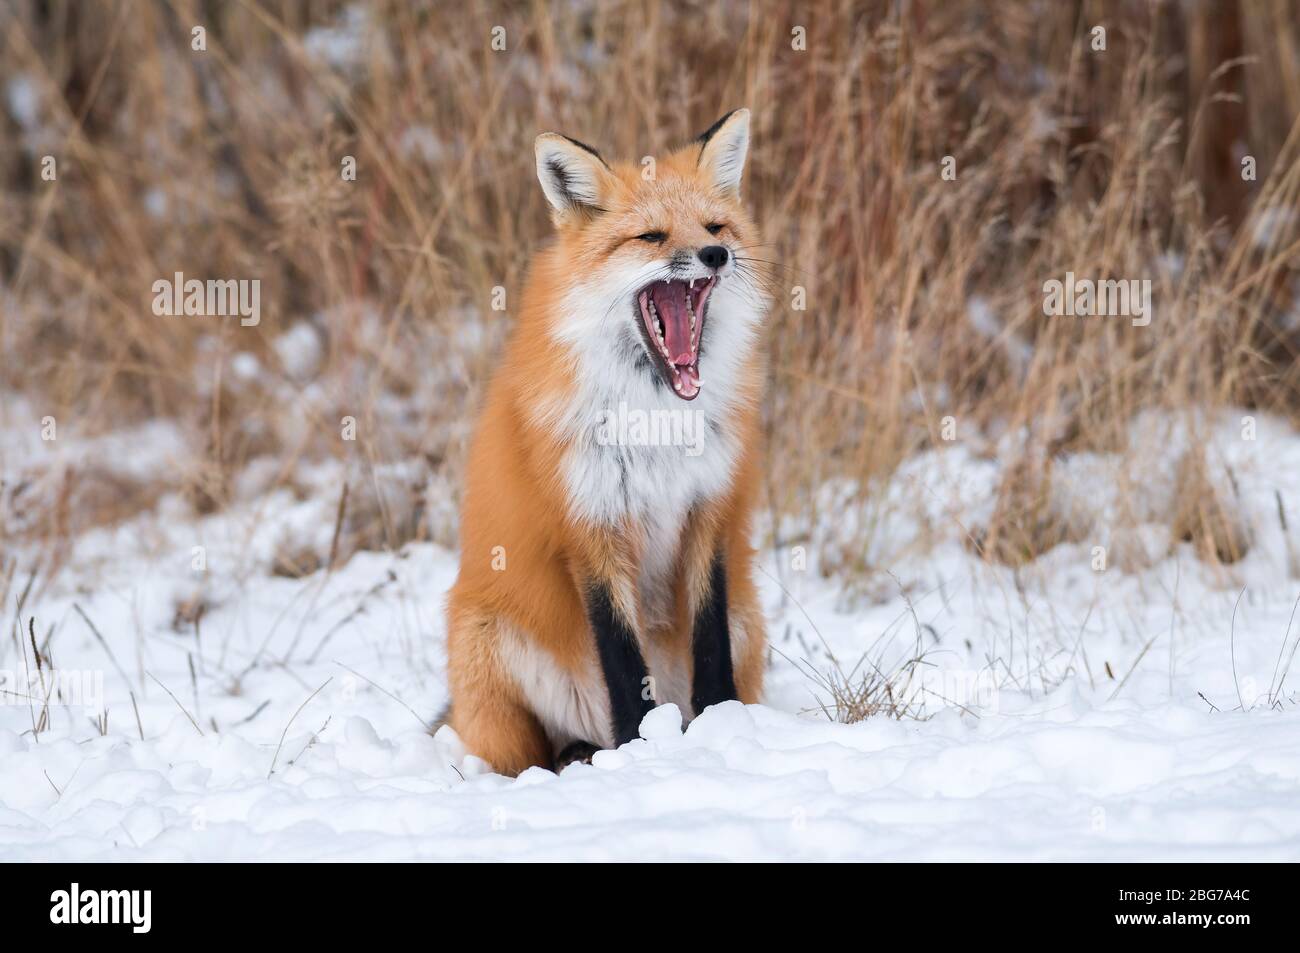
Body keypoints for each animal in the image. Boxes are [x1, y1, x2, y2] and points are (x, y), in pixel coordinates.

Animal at [443, 109, 769, 775]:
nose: (716, 254)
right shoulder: (590, 526)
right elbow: (622, 661)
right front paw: (642, 748)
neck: (658, 422)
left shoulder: (709, 513)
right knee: (533, 752)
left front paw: (721, 728)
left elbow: (710, 643)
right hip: (486, 648)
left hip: (752, 619)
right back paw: (581, 755)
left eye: (715, 226)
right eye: (651, 237)